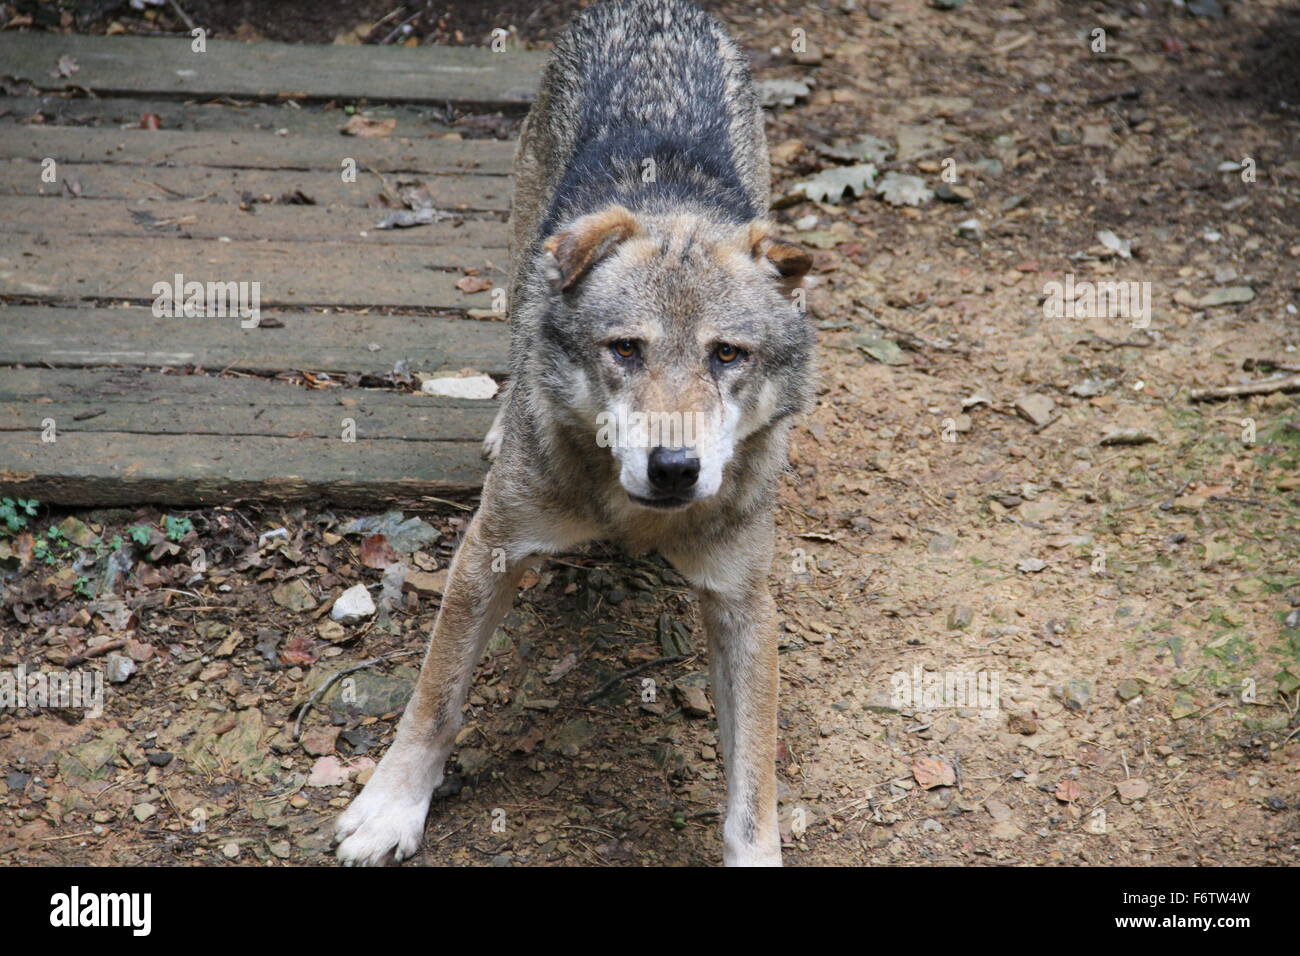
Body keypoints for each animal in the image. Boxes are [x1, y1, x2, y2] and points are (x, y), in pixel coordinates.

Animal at [336, 0, 813, 867]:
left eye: (727, 355)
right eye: (625, 349)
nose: (673, 466)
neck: (630, 516)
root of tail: (654, 10)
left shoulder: (743, 602)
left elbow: (754, 786)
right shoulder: (488, 549)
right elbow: (435, 696)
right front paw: (389, 809)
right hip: (522, 239)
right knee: (517, 326)